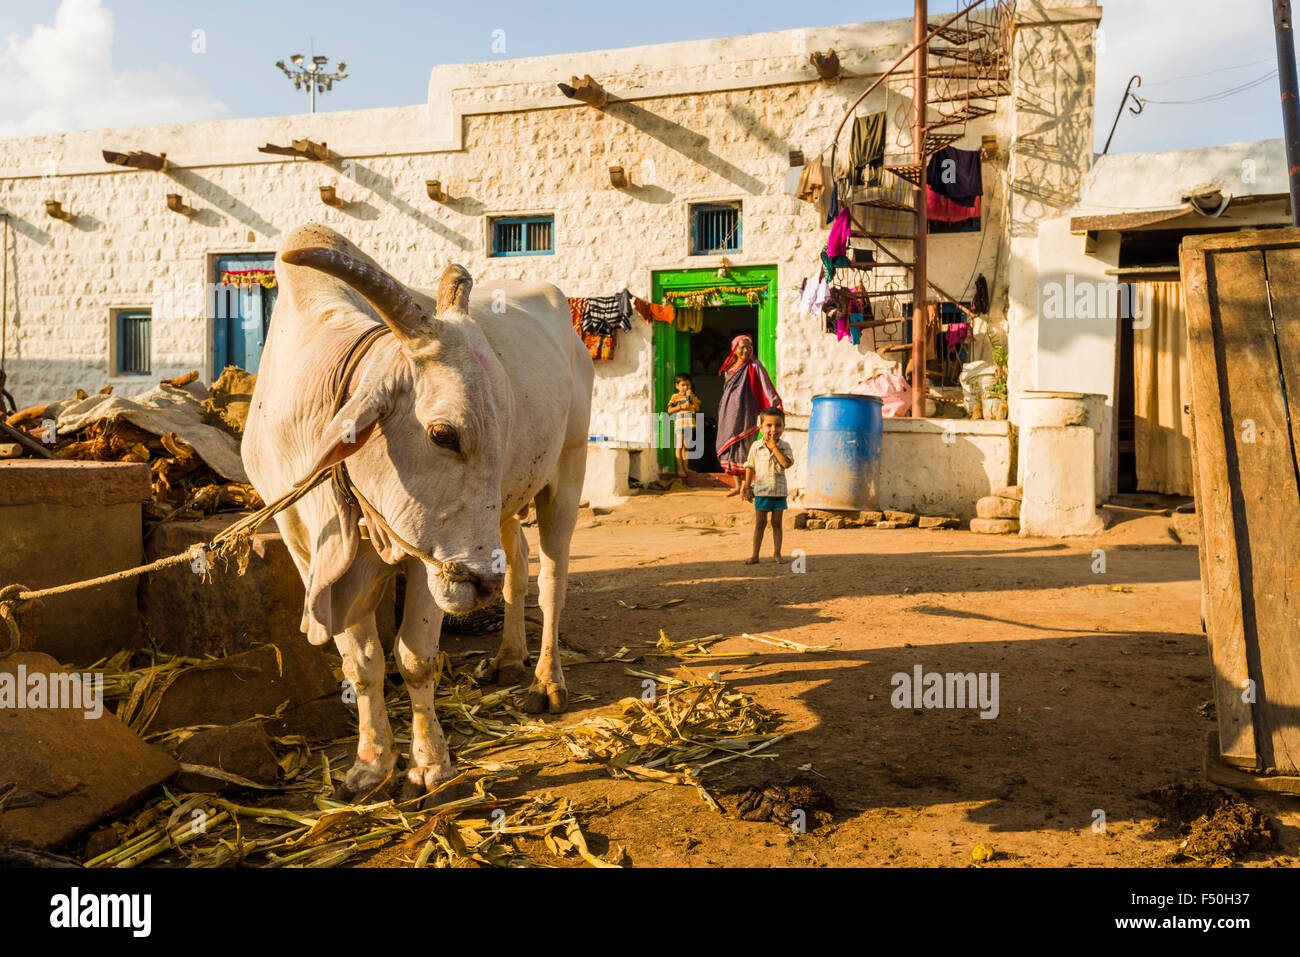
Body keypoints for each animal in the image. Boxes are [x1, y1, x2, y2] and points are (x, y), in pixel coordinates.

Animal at [243, 224, 593, 801]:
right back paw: (508, 657)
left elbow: (414, 657)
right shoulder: (303, 546)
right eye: (443, 434)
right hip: (504, 512)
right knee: (517, 568)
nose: (477, 583)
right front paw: (370, 765)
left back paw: (547, 680)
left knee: (551, 580)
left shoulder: (427, 555)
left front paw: (430, 765)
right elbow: (361, 662)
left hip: (566, 471)